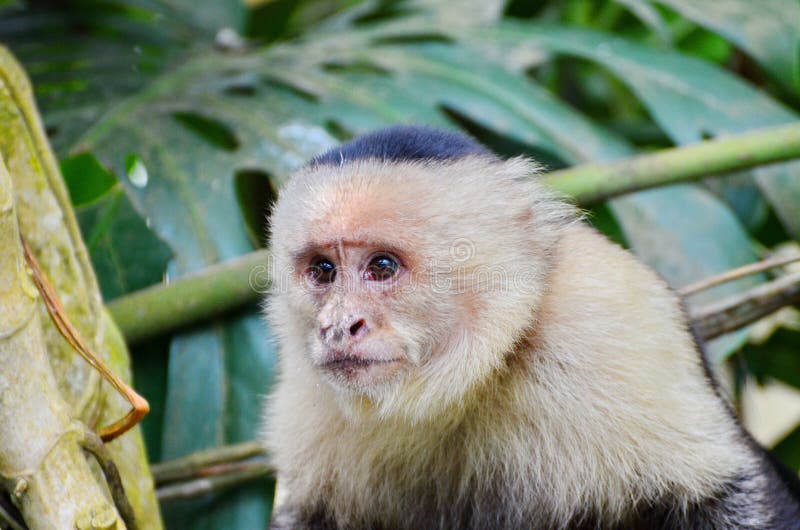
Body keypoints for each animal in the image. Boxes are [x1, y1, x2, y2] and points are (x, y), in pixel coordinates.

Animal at [262, 125, 800, 529]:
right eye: (323, 270)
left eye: (382, 267)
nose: (338, 326)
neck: (471, 380)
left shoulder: (611, 311)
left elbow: (723, 496)